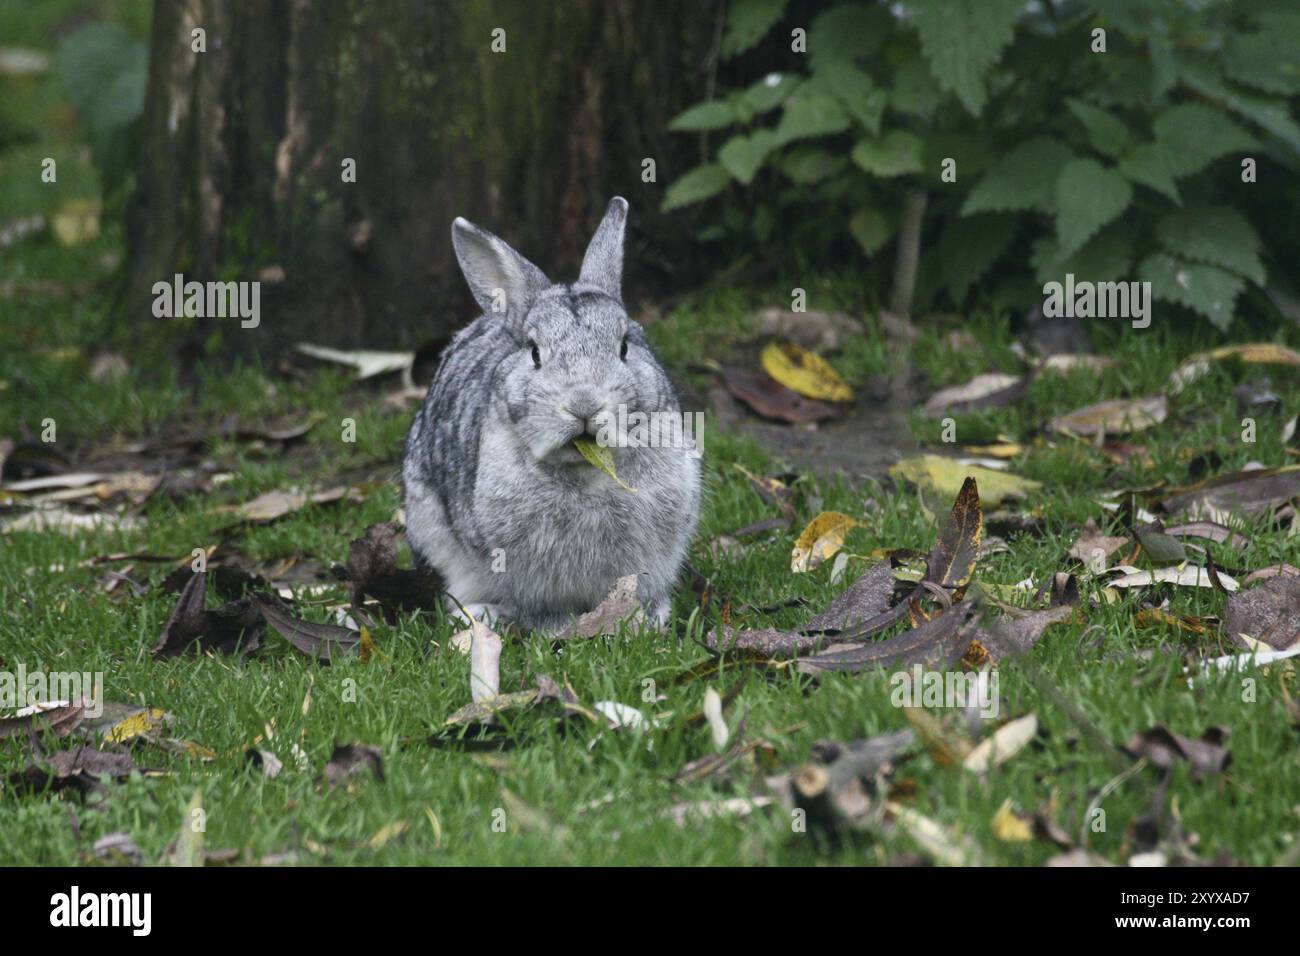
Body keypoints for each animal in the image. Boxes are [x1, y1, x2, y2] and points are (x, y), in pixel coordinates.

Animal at [402, 197, 701, 633]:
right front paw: (554, 626)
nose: (583, 403)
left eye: (624, 346)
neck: (586, 467)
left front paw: (650, 616)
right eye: (534, 353)